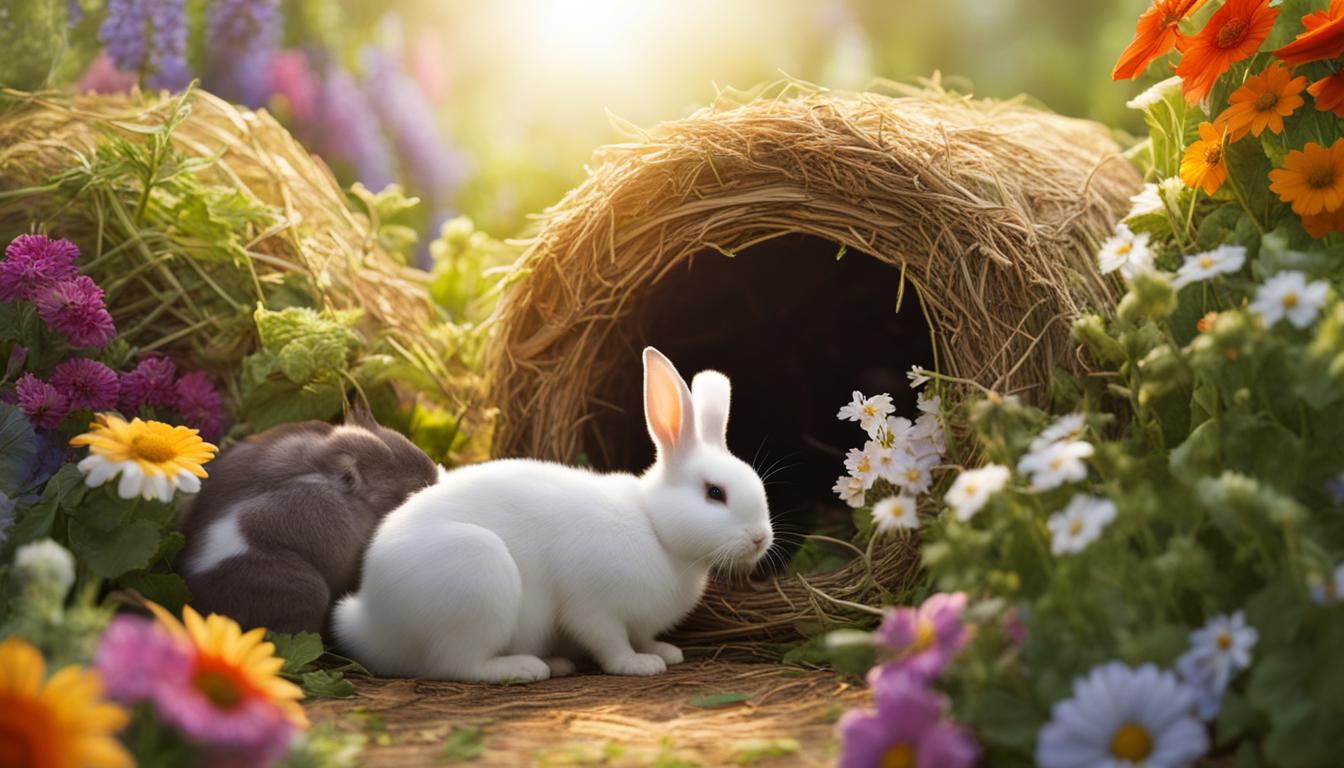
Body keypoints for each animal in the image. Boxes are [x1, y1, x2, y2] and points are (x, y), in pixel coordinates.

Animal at [333, 347, 773, 682]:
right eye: (715, 493)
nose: (760, 539)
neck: (655, 529)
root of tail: (369, 620)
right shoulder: (593, 607)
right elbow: (610, 642)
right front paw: (639, 664)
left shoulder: (637, 620)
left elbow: (643, 635)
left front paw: (664, 651)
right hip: (478, 578)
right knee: (457, 664)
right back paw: (527, 668)